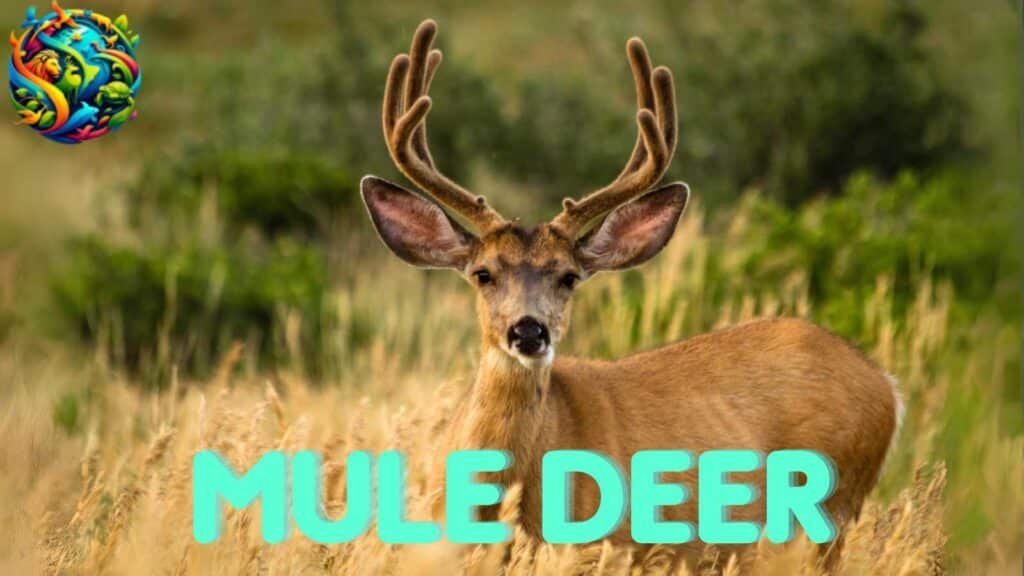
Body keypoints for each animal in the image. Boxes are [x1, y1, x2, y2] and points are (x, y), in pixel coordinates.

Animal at [359, 19, 903, 570]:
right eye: (482, 273)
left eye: (568, 276)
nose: (529, 331)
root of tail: (886, 384)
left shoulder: (605, 546)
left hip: (827, 512)